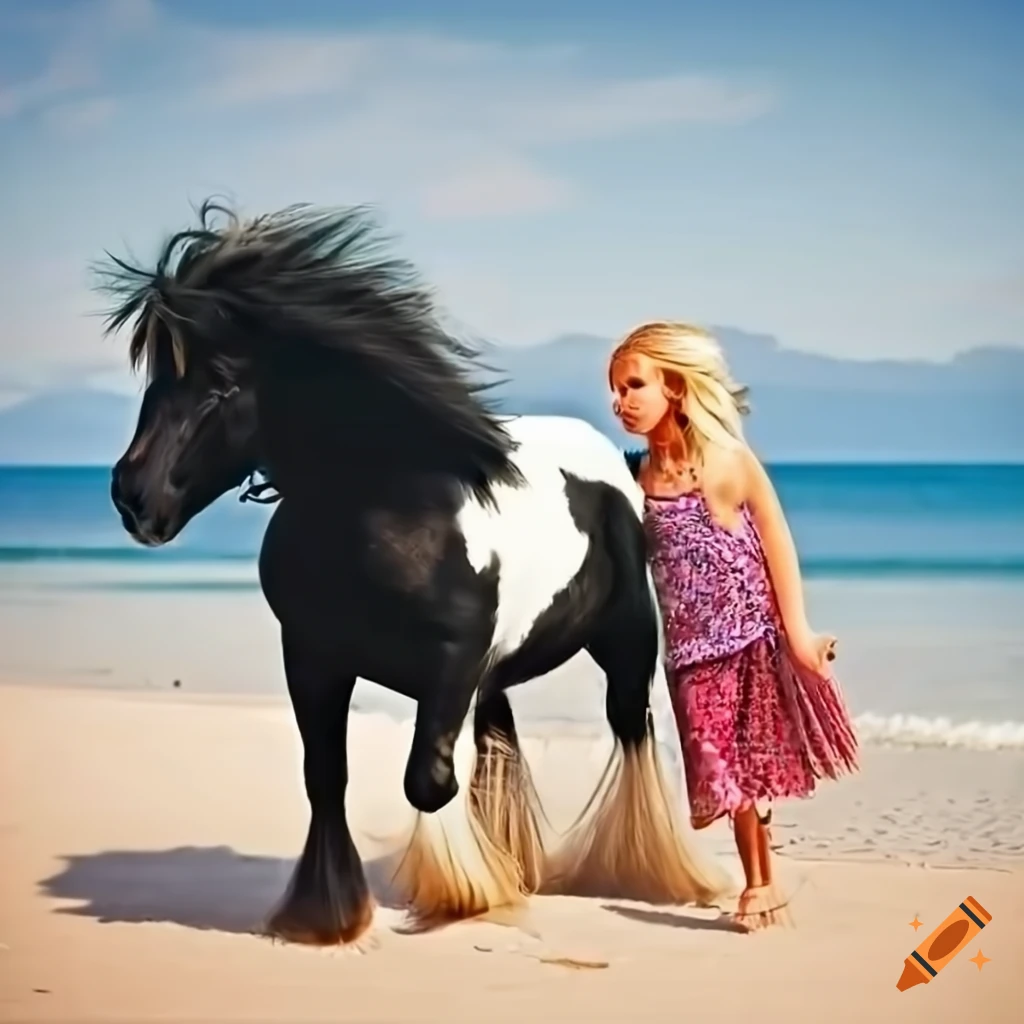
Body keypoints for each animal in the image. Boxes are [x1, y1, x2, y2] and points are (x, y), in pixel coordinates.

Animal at [98, 200, 729, 946]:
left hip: (625, 639)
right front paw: (328, 914)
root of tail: (617, 462)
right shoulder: (312, 657)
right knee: (500, 742)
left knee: (630, 729)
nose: (132, 497)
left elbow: (428, 780)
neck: (393, 515)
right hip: (498, 673)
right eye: (156, 379)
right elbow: (326, 775)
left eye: (220, 387)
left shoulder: (452, 663)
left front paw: (463, 894)